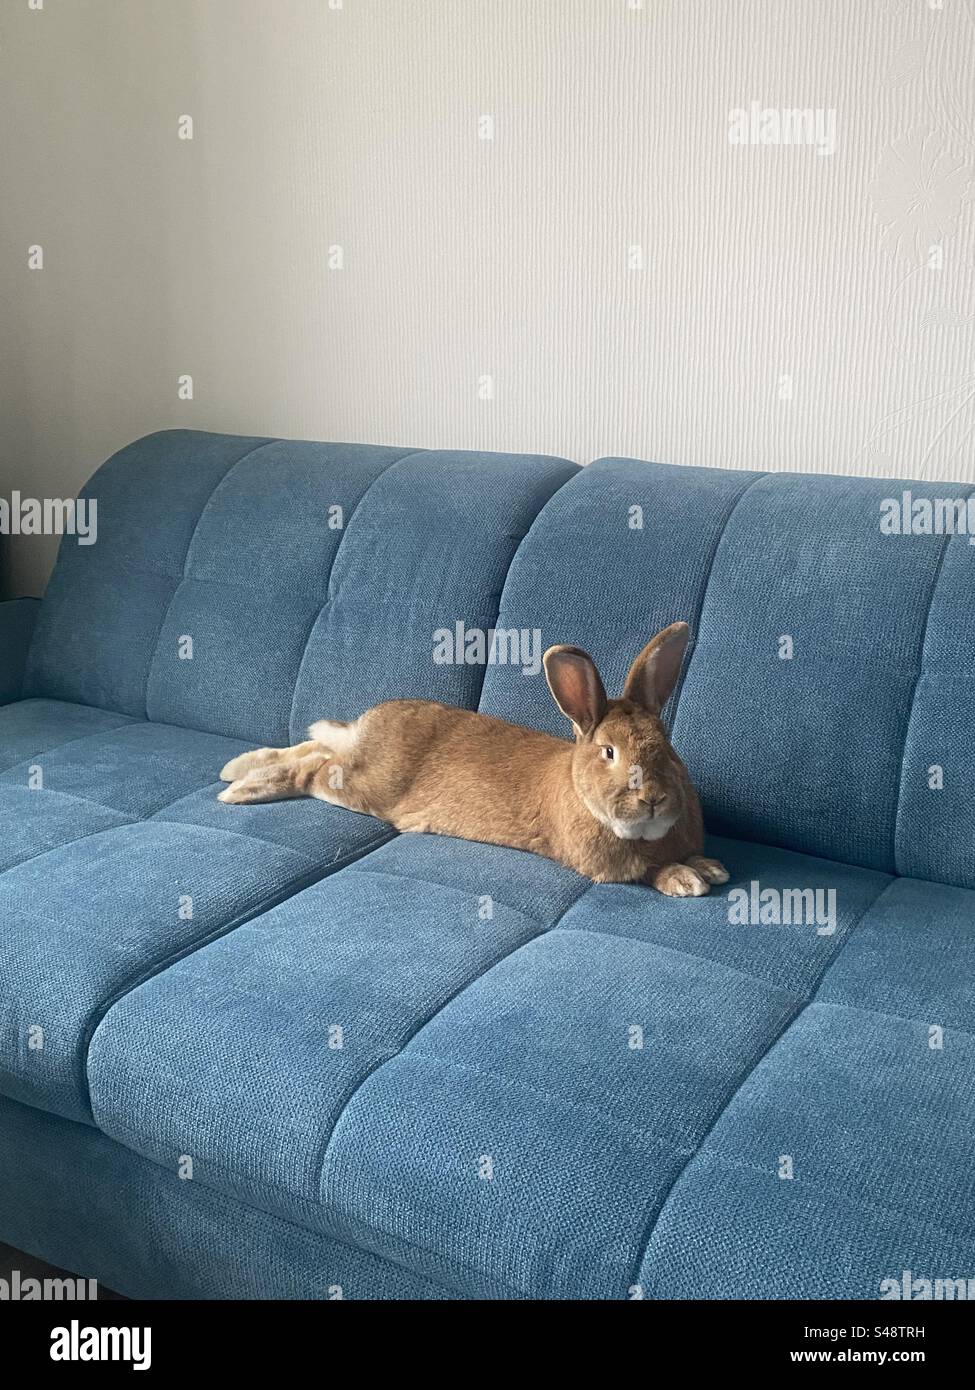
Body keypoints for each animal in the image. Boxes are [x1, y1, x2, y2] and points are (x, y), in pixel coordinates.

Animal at [218, 621, 728, 895]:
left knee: (316, 744)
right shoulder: (607, 866)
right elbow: (651, 871)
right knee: (314, 768)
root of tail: (367, 725)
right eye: (609, 752)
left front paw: (709, 867)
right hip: (365, 787)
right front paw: (687, 880)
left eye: (665, 743)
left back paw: (234, 768)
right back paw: (240, 791)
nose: (655, 799)